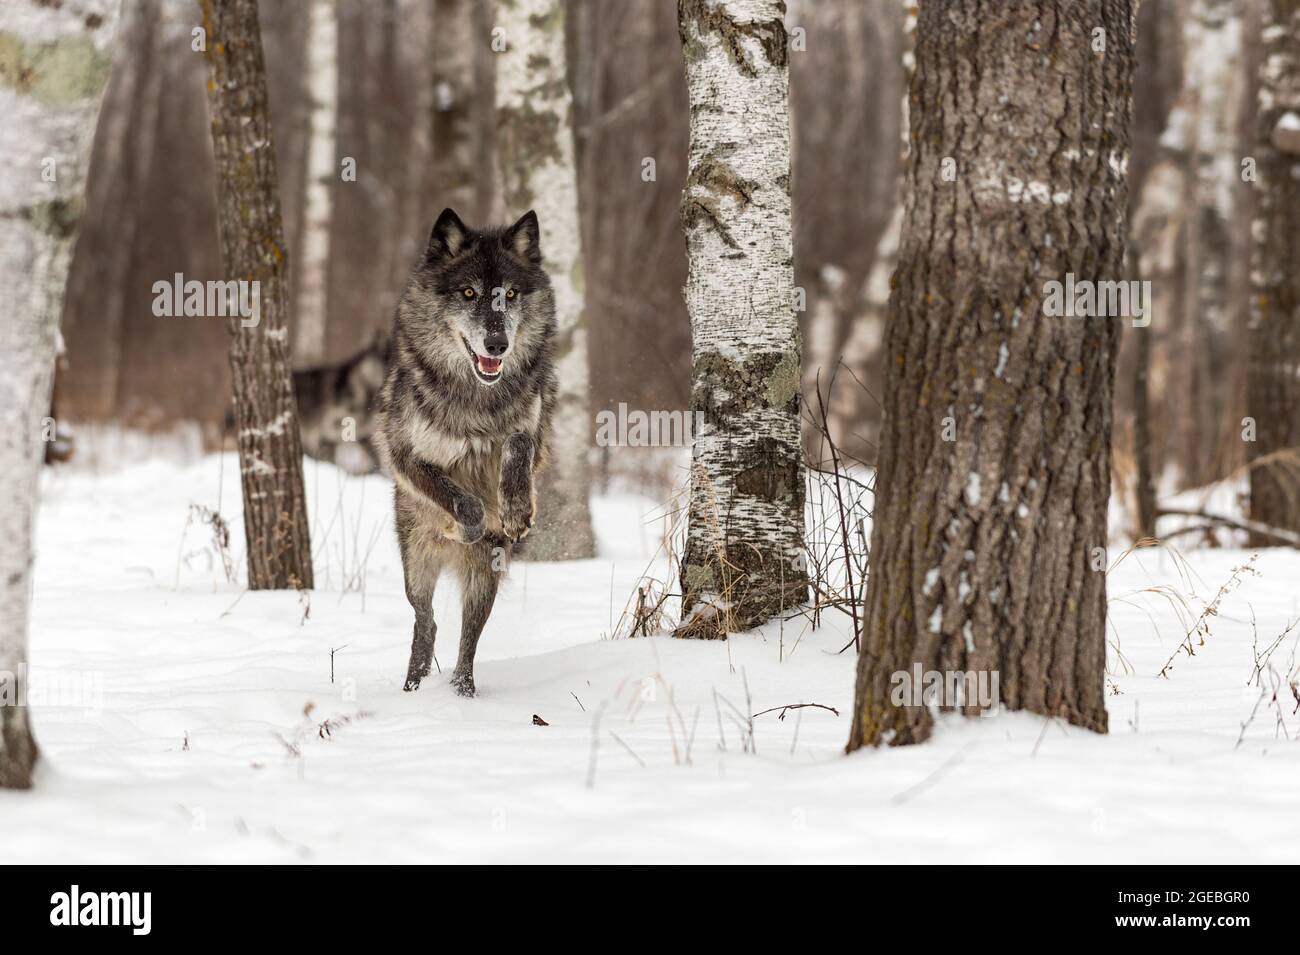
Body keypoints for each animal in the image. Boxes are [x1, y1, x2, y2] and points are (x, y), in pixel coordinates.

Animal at [374, 208, 556, 697]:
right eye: (470, 293)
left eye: (510, 294)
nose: (497, 345)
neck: (477, 398)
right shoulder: (405, 456)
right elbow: (458, 496)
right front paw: (467, 525)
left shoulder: (532, 429)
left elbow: (517, 442)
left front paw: (514, 511)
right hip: (417, 566)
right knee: (427, 623)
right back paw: (414, 686)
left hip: (485, 577)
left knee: (466, 639)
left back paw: (463, 691)